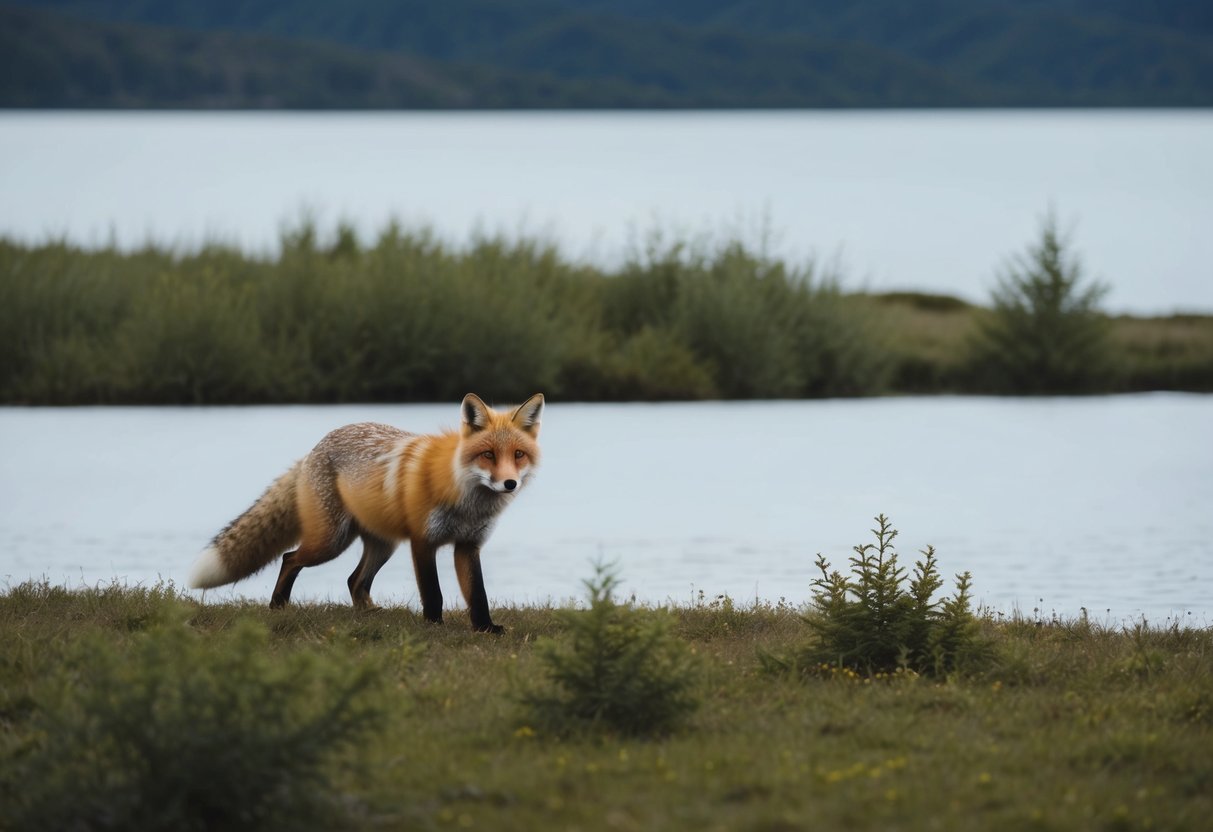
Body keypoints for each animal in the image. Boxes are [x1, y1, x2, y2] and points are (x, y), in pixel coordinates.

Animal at [188, 393, 543, 633]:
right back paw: (279, 605)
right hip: (331, 542)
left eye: (518, 454)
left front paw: (485, 629)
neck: (465, 501)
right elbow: (434, 593)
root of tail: (315, 448)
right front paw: (434, 625)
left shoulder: (468, 545)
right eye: (488, 455)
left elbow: (478, 594)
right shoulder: (422, 542)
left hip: (383, 545)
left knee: (354, 580)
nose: (509, 483)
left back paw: (369, 614)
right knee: (290, 558)